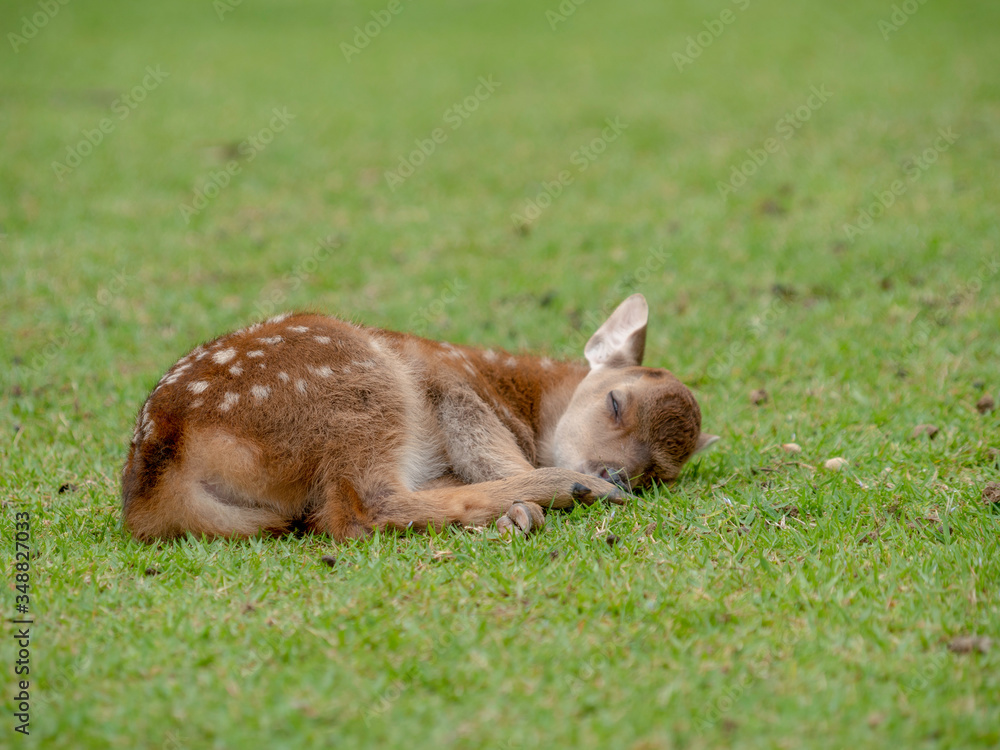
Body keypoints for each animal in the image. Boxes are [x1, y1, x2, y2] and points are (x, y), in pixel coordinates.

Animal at [121, 293, 718, 542]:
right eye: (615, 403)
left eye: (658, 473)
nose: (619, 475)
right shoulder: (447, 380)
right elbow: (482, 440)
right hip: (361, 387)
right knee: (363, 509)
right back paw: (565, 490)